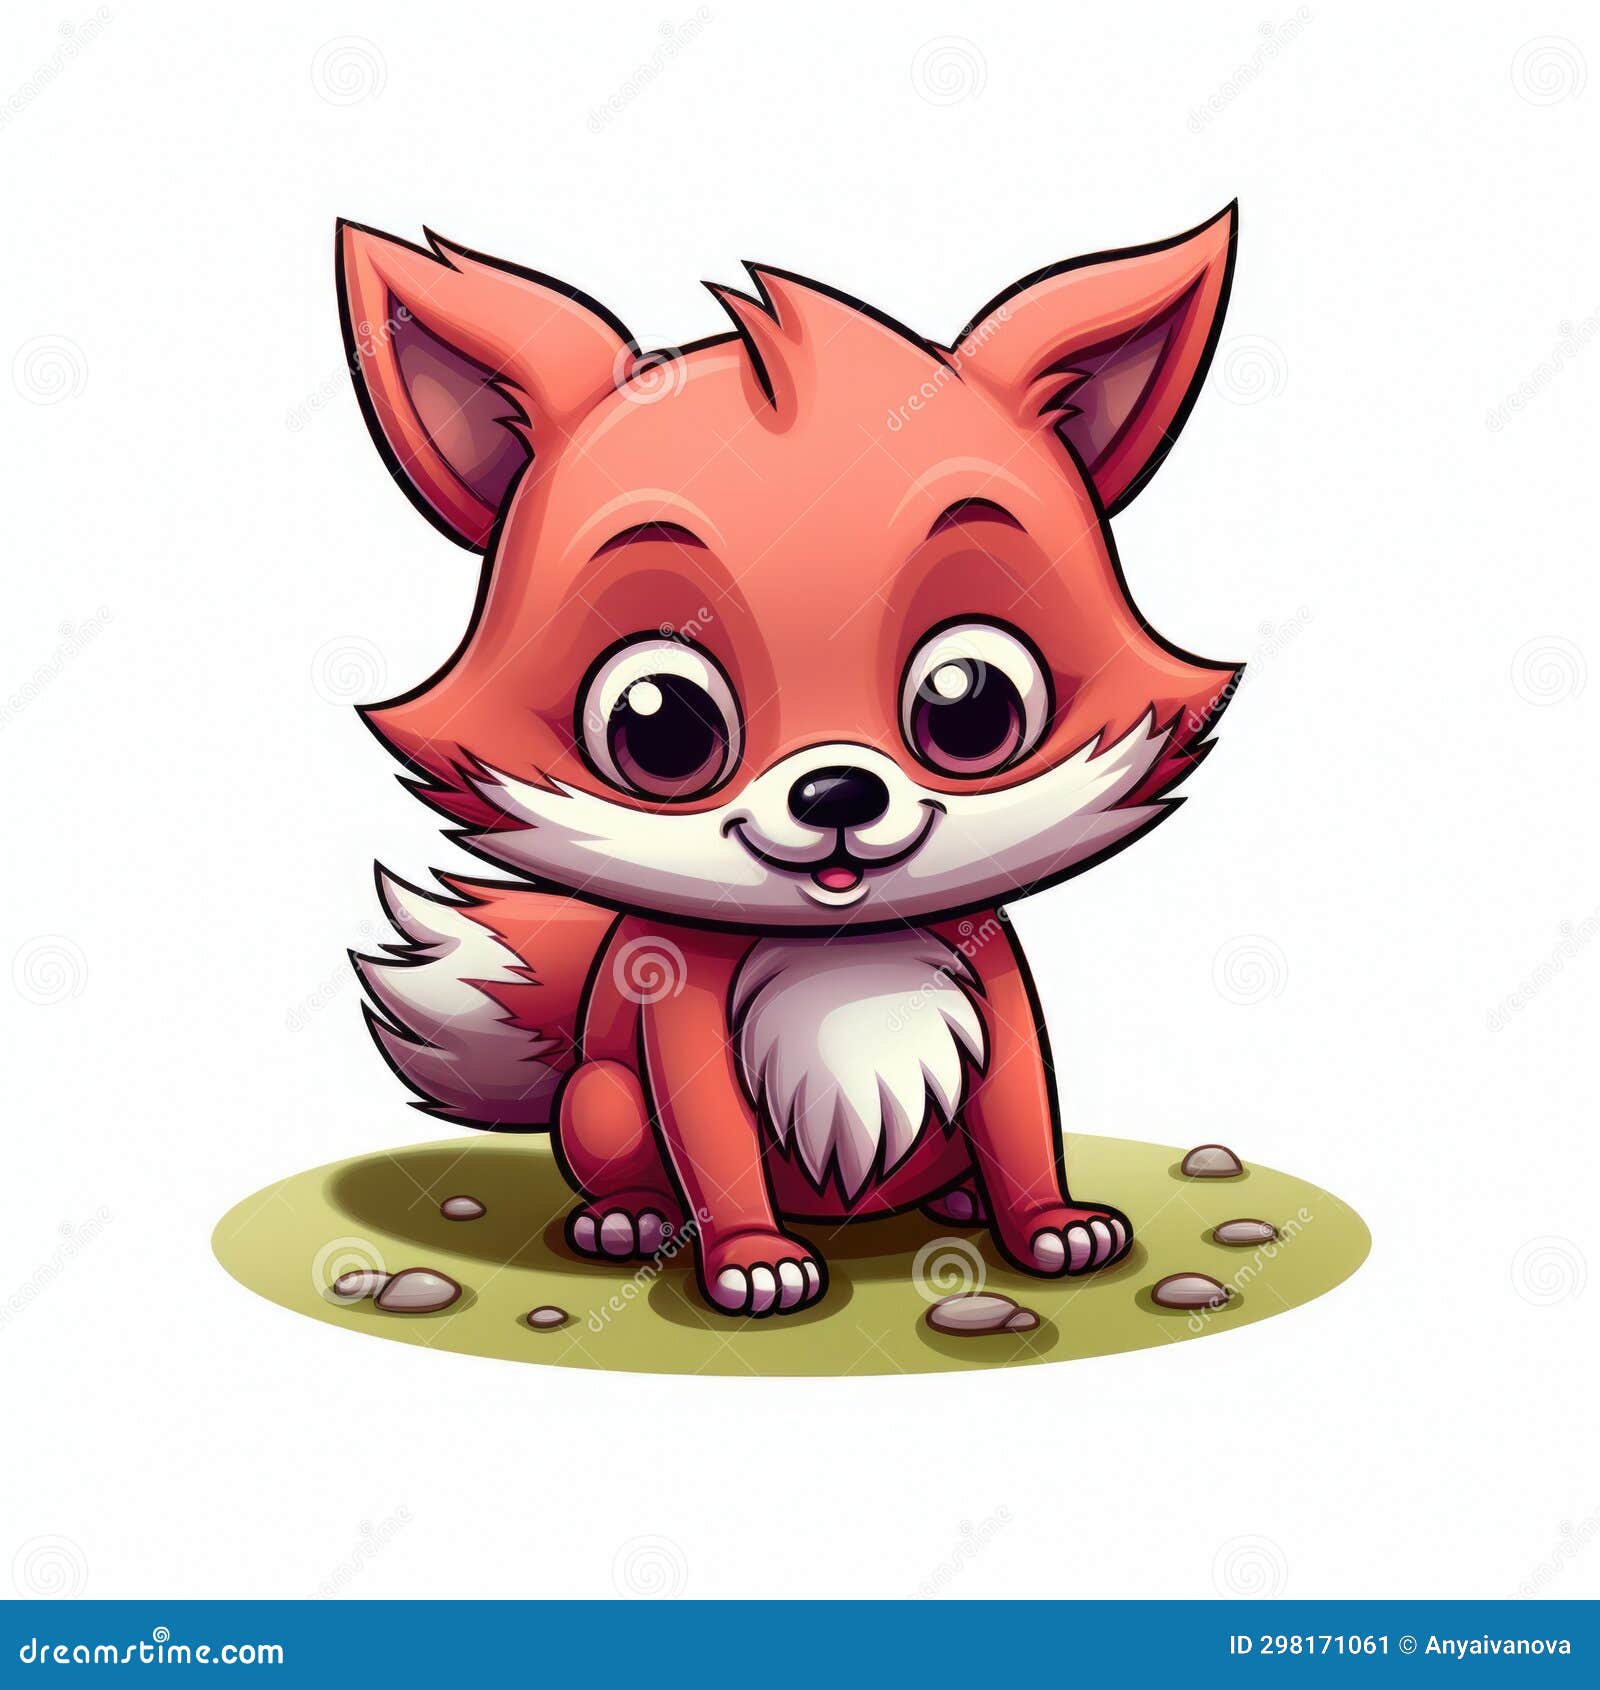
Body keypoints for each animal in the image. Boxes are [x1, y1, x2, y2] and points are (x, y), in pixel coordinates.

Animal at [337, 206, 1241, 1318]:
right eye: (660, 726)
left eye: (971, 705)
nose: (837, 787)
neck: (837, 947)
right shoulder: (677, 1003)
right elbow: (714, 1138)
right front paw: (753, 1259)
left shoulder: (993, 976)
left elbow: (1025, 1111)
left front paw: (1048, 1224)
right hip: (600, 1097)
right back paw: (628, 1218)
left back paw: (958, 1204)